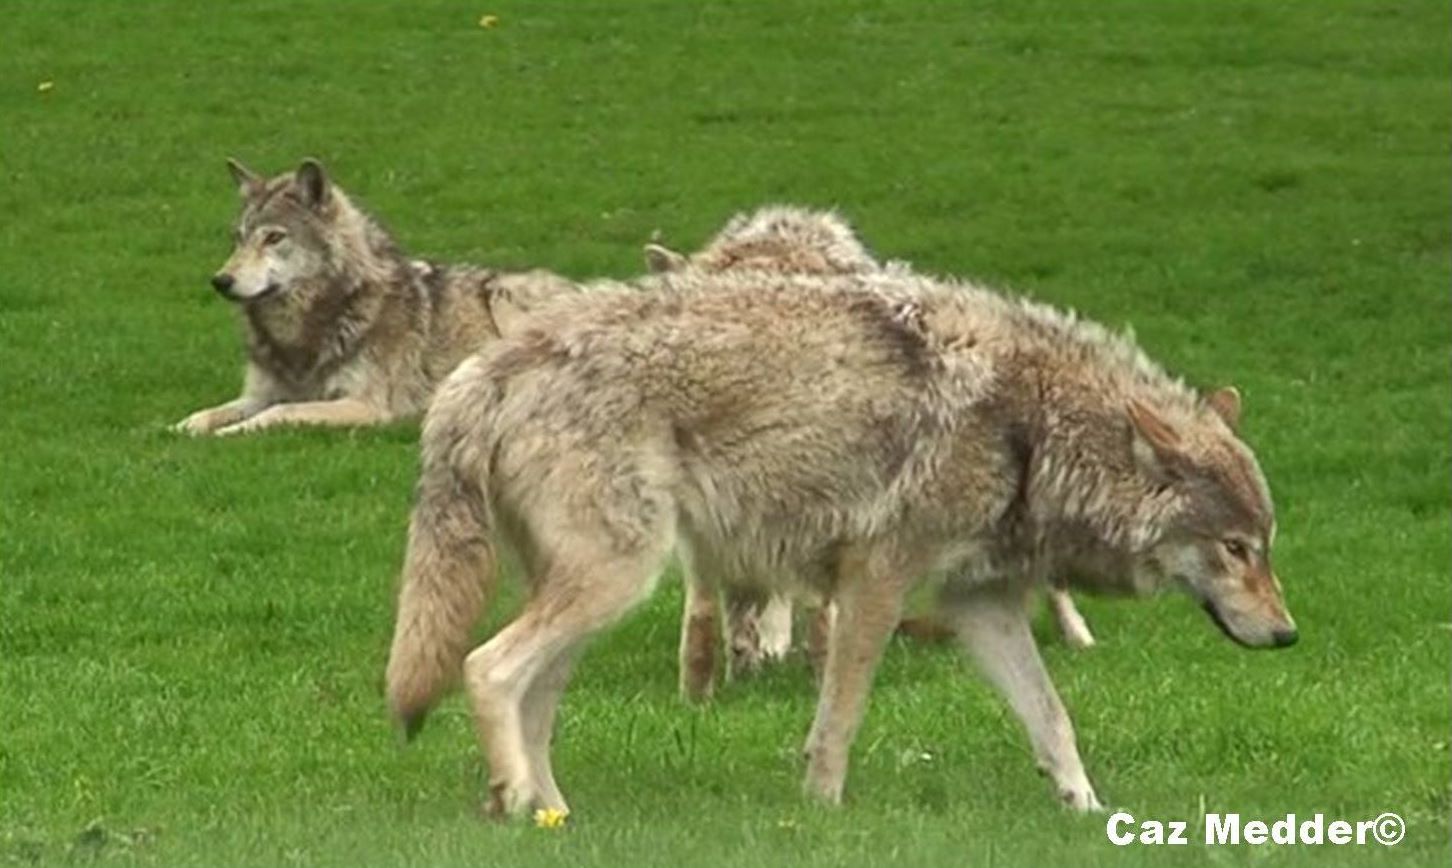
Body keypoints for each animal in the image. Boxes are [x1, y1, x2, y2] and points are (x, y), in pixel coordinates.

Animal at [172, 159, 578, 436]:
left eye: (274, 238)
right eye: (238, 239)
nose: (220, 281)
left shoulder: (364, 405)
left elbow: (278, 413)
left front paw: (231, 432)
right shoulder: (261, 393)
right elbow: (210, 412)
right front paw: (182, 427)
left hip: (505, 297)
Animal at [384, 268, 1296, 818]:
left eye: (1265, 543)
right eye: (1235, 549)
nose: (1288, 635)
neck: (1029, 427)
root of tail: (483, 370)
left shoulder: (981, 603)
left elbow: (1053, 719)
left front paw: (1089, 810)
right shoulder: (875, 583)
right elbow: (842, 715)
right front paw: (821, 811)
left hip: (596, 597)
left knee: (532, 698)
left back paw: (549, 813)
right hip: (615, 583)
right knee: (485, 668)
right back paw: (519, 803)